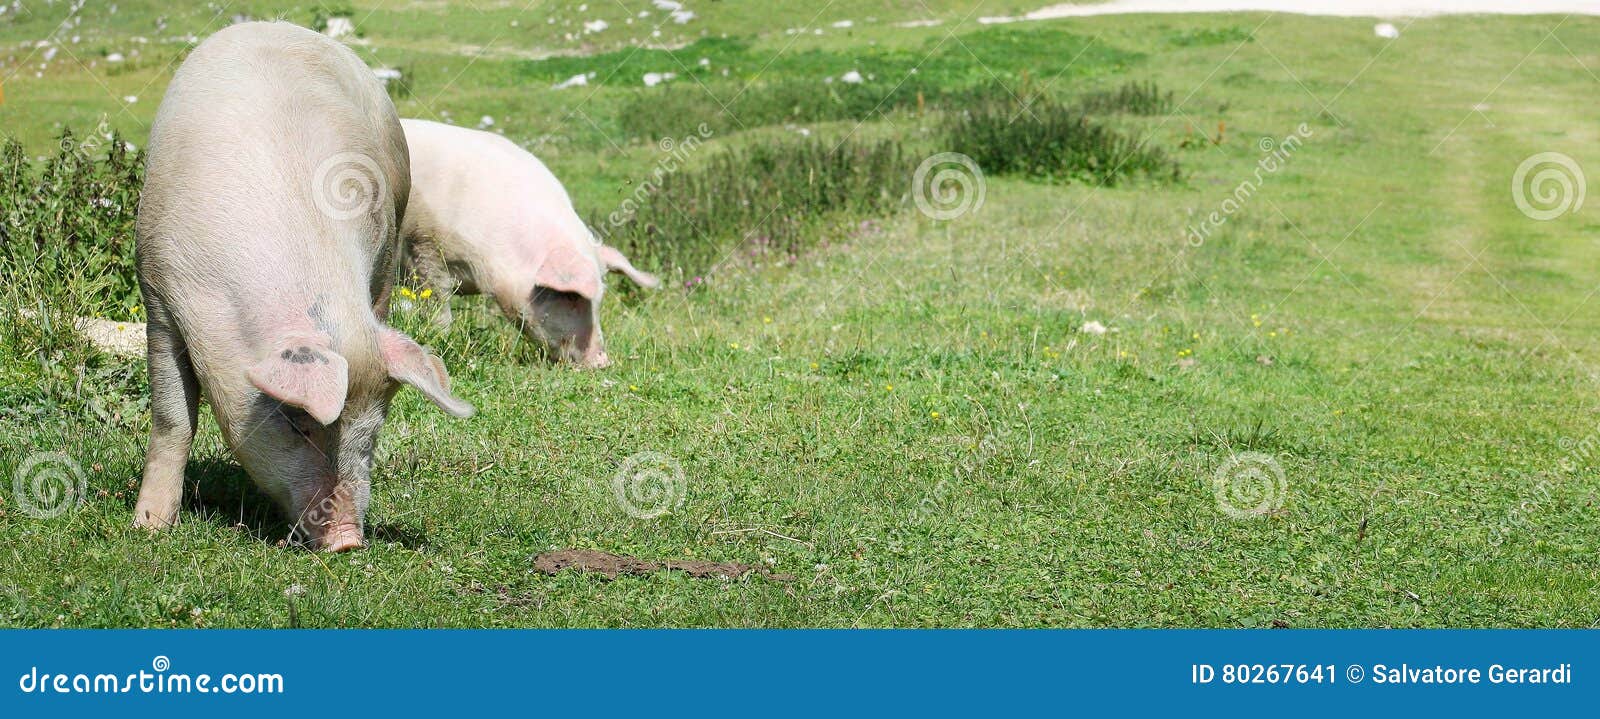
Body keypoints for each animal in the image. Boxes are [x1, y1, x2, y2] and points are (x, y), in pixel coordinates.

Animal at [131, 22, 473, 552]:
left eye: (373, 430)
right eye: (296, 421)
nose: (348, 539)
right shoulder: (159, 292)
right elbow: (172, 418)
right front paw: (148, 528)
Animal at [398, 118, 659, 368]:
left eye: (599, 300)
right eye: (572, 297)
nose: (603, 362)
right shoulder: (424, 244)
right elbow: (438, 301)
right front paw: (439, 338)